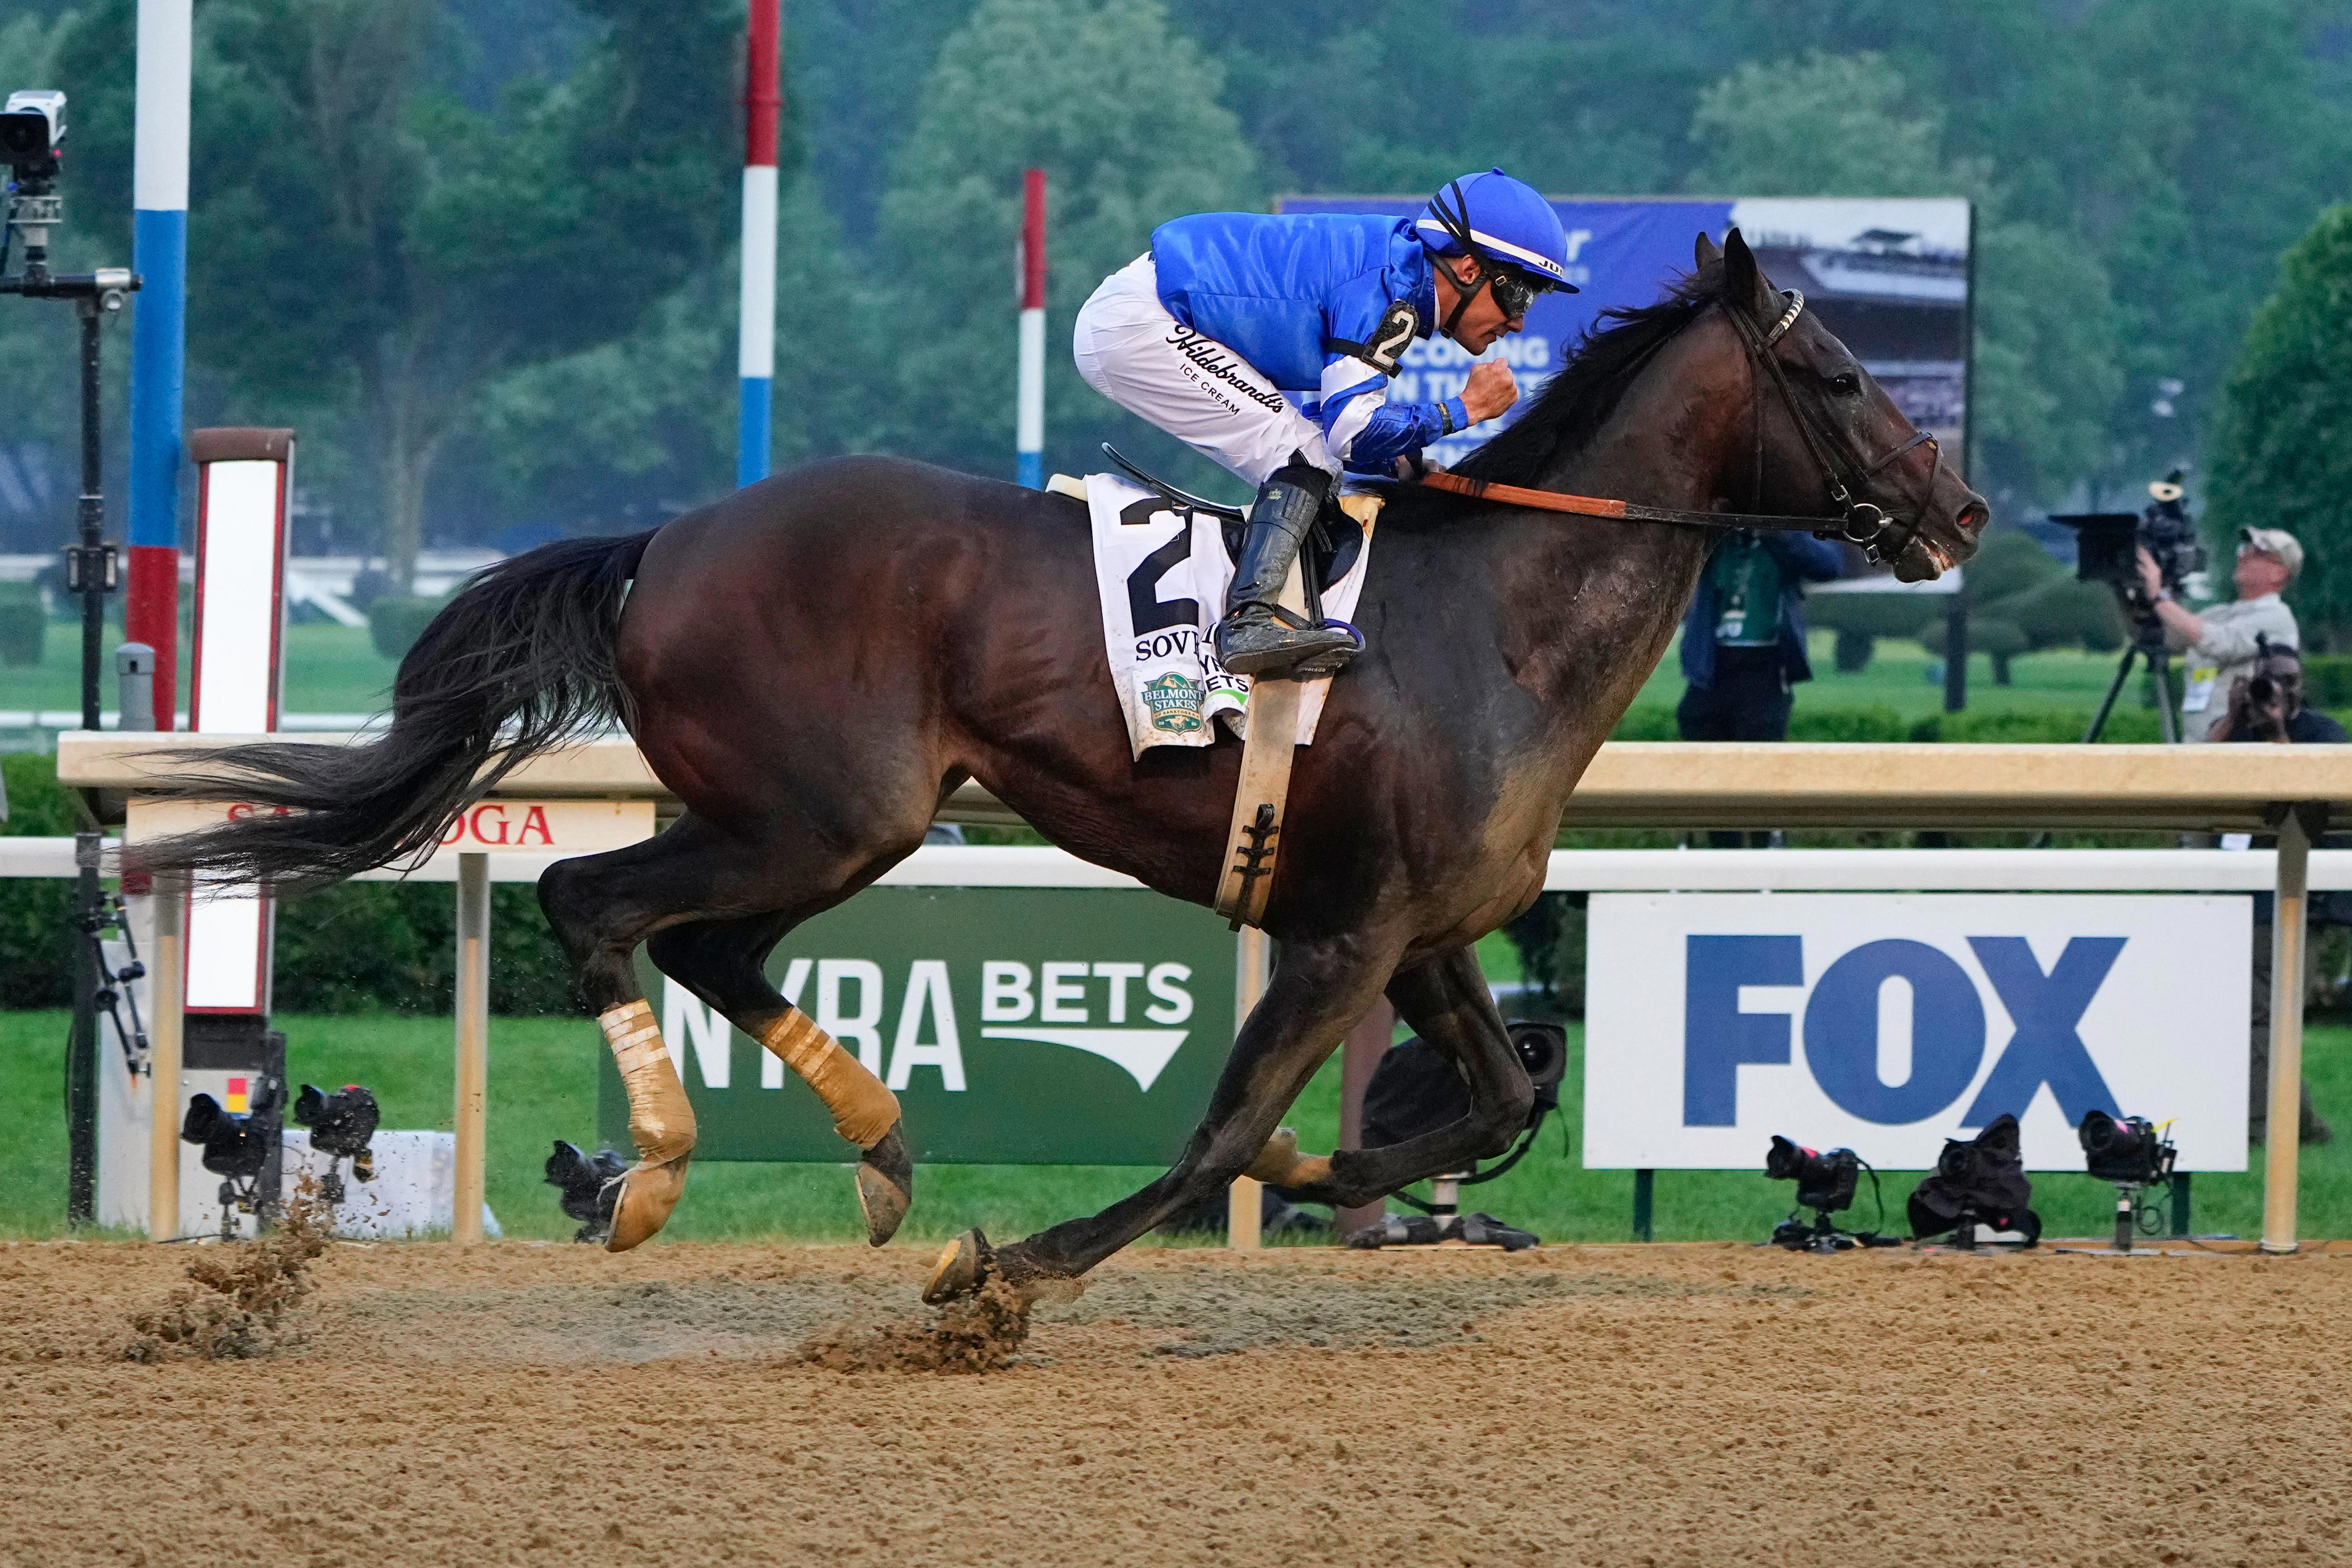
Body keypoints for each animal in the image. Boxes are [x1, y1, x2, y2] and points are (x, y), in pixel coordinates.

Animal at [137, 231, 1985, 1295]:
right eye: (1835, 372)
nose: (1958, 509)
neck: (1495, 619)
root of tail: (664, 543)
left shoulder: (1419, 927)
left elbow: (1496, 1092)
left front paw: (1334, 1177)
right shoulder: (1340, 934)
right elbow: (1221, 1137)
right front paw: (1017, 1265)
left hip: (835, 824)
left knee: (710, 947)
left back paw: (880, 1149)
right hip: (815, 807)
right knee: (598, 906)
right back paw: (658, 1175)